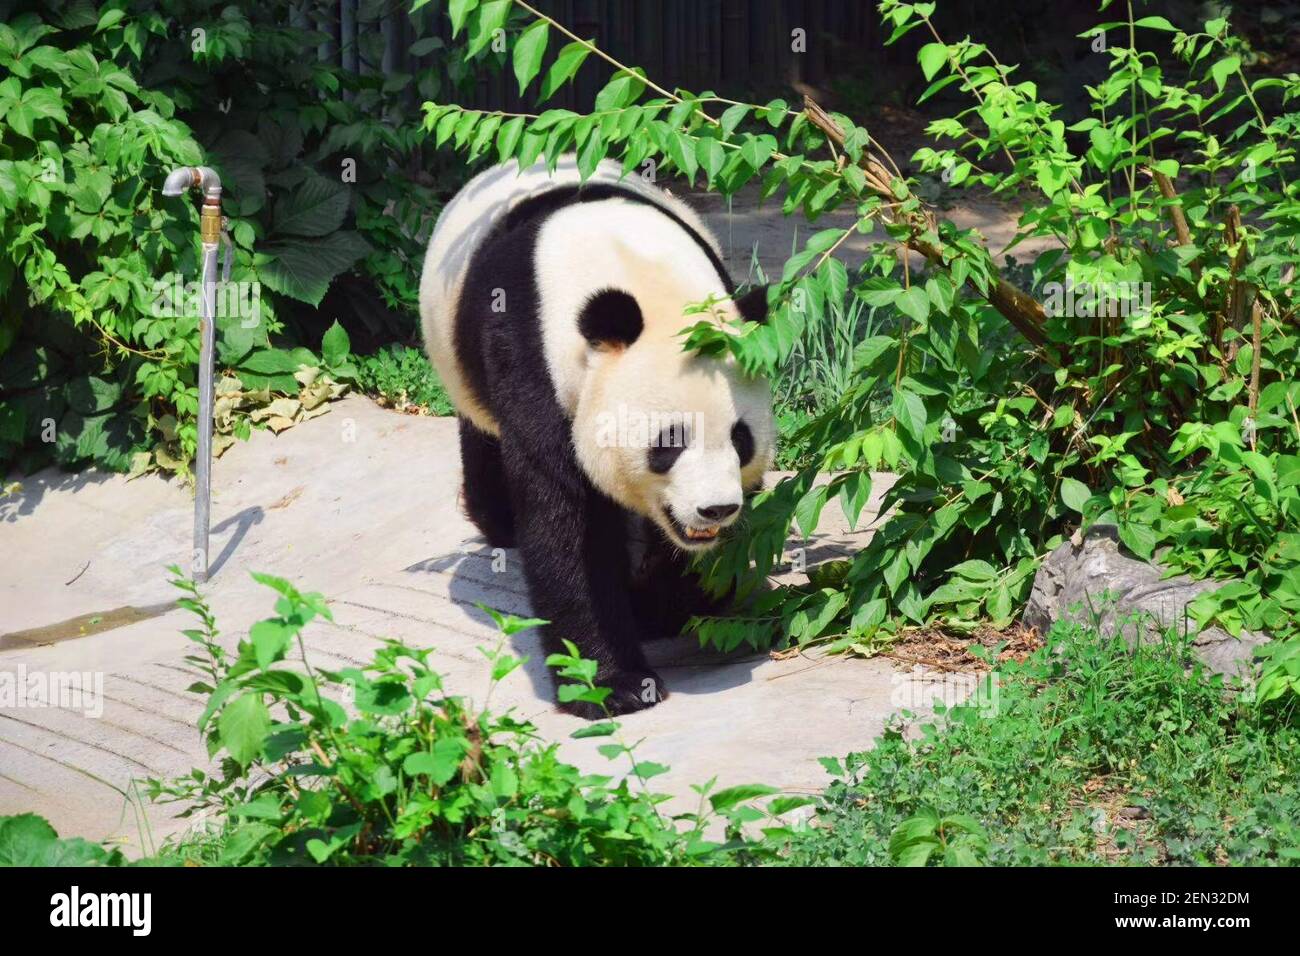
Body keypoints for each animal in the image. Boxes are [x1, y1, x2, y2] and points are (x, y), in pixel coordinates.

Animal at [419, 156, 775, 717]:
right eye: (668, 442)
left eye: (741, 440)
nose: (716, 509)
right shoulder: (529, 353)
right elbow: (567, 519)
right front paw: (615, 684)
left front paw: (662, 608)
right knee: (482, 439)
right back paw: (499, 524)